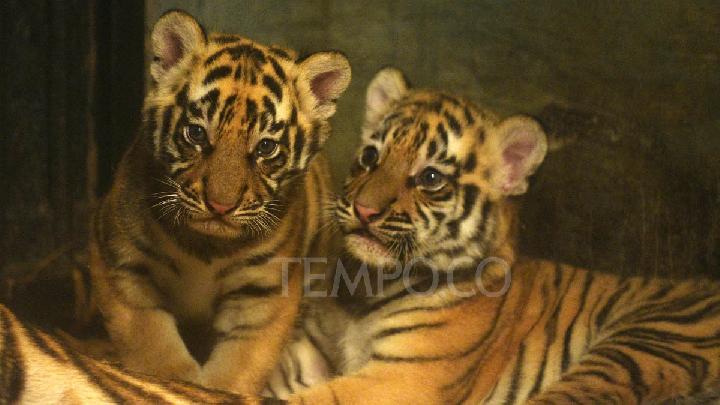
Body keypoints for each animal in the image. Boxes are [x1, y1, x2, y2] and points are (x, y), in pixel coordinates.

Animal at [89, 10, 350, 398]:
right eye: (196, 133)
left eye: (265, 147)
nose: (220, 206)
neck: (207, 246)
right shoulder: (122, 261)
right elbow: (149, 342)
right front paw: (172, 382)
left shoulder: (264, 293)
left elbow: (239, 365)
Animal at [264, 67, 720, 404]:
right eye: (370, 157)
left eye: (430, 178)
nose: (364, 210)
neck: (366, 285)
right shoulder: (307, 355)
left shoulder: (404, 376)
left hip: (644, 342)